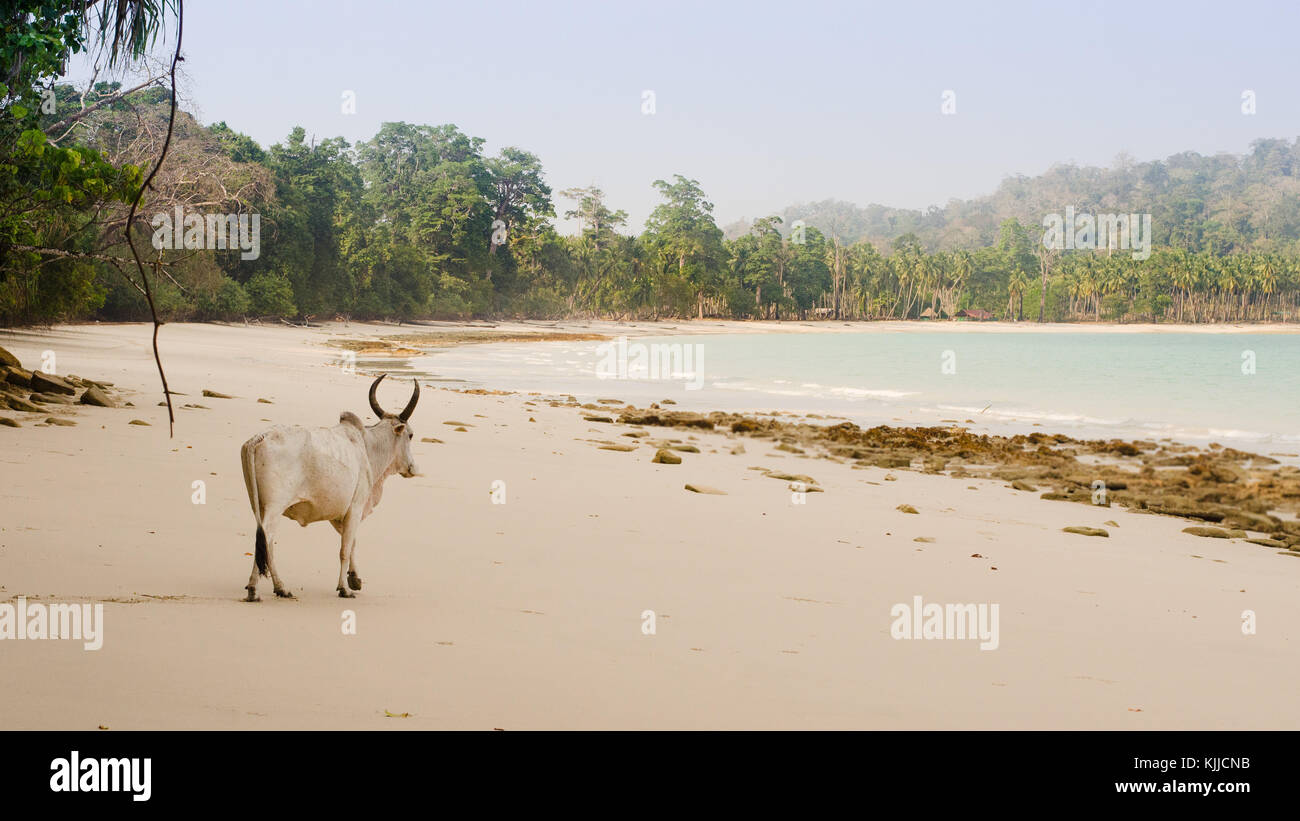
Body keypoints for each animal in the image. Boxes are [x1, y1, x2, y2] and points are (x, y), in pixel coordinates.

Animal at [239, 374, 421, 601]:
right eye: (410, 435)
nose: (413, 468)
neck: (367, 447)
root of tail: (259, 439)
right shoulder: (355, 507)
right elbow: (345, 549)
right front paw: (344, 588)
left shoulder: (340, 514)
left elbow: (351, 544)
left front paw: (355, 579)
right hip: (274, 507)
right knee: (266, 540)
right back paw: (255, 590)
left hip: (258, 506)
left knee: (265, 543)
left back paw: (280, 588)